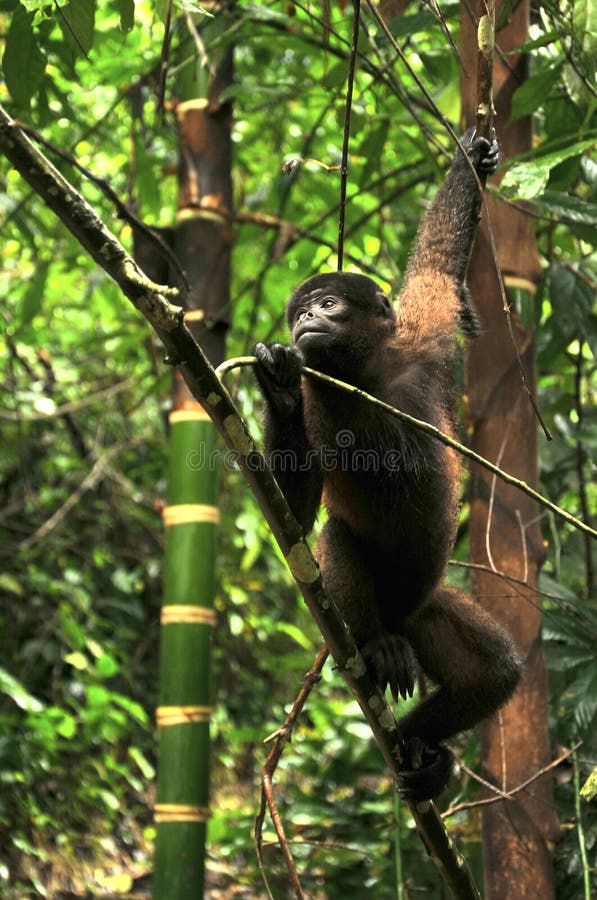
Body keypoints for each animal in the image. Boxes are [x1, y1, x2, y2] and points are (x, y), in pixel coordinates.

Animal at [253, 129, 522, 800]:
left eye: (326, 303)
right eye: (300, 313)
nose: (304, 319)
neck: (364, 373)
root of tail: (403, 616)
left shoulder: (423, 334)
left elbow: (435, 270)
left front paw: (474, 160)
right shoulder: (319, 395)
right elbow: (296, 523)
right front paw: (277, 390)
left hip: (427, 606)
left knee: (496, 674)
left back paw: (426, 756)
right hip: (380, 606)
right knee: (336, 539)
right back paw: (379, 649)